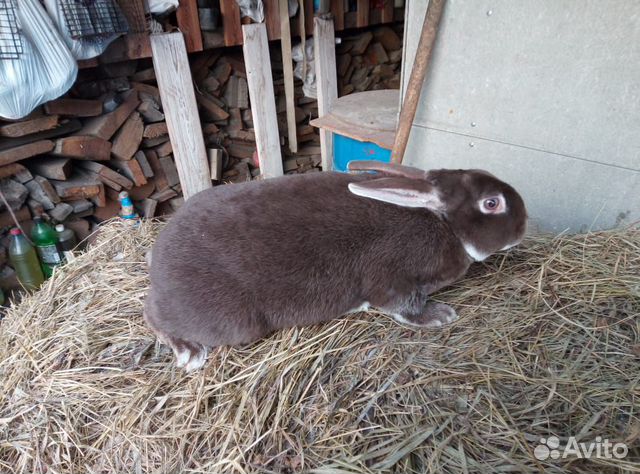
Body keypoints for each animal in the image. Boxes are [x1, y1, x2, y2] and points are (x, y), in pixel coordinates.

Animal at [144, 161, 527, 371]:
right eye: (491, 203)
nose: (524, 225)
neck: (443, 222)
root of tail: (157, 266)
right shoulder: (393, 281)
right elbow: (402, 306)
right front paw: (440, 316)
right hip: (234, 323)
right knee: (153, 316)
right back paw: (189, 352)